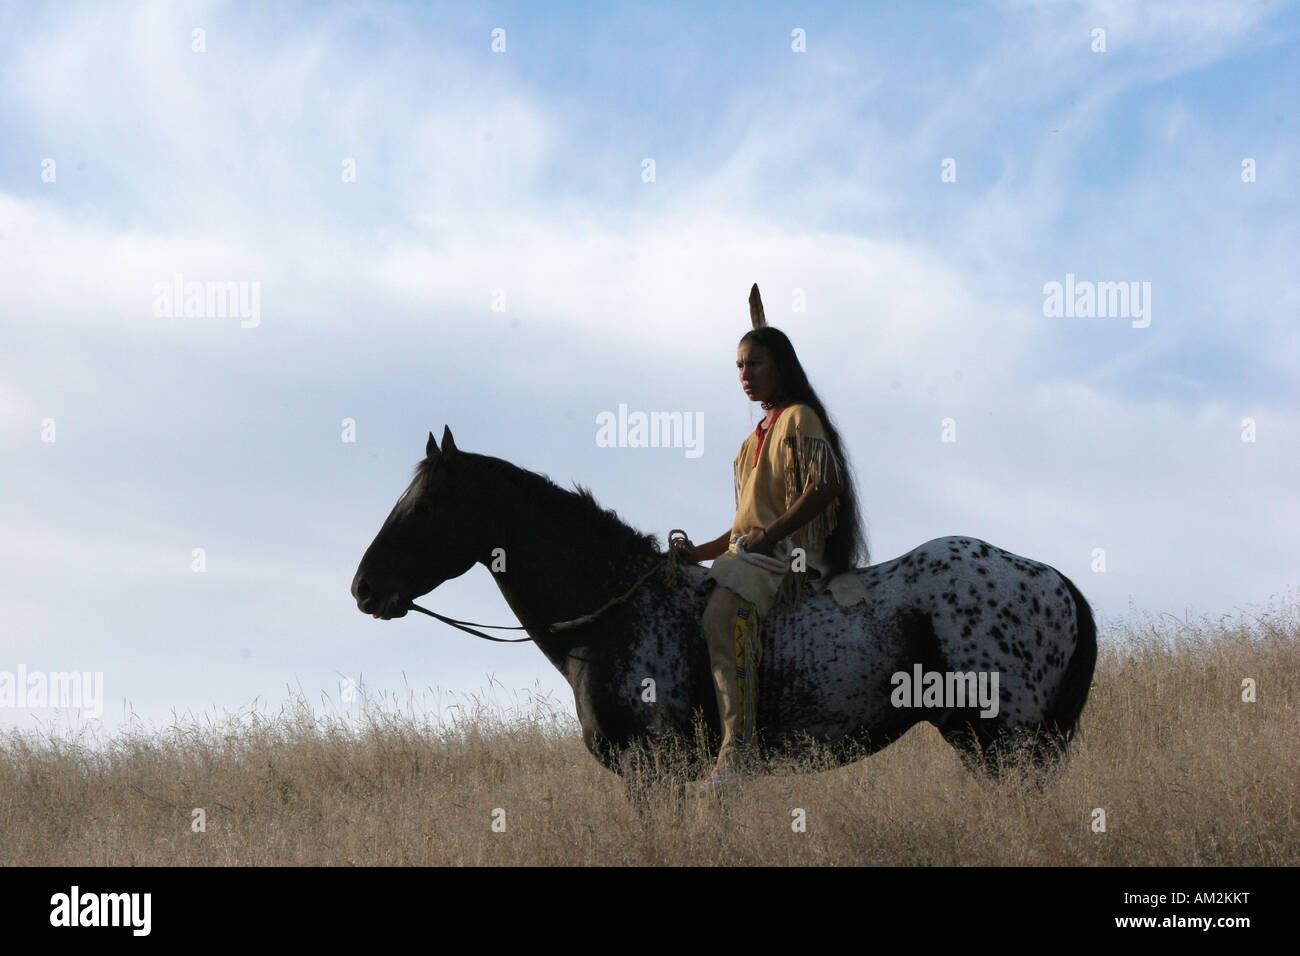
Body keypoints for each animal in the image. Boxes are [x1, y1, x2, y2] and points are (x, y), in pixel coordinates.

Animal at [351, 427, 1097, 796]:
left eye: (427, 505)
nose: (363, 588)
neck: (616, 614)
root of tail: (1052, 580)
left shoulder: (656, 774)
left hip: (1008, 743)